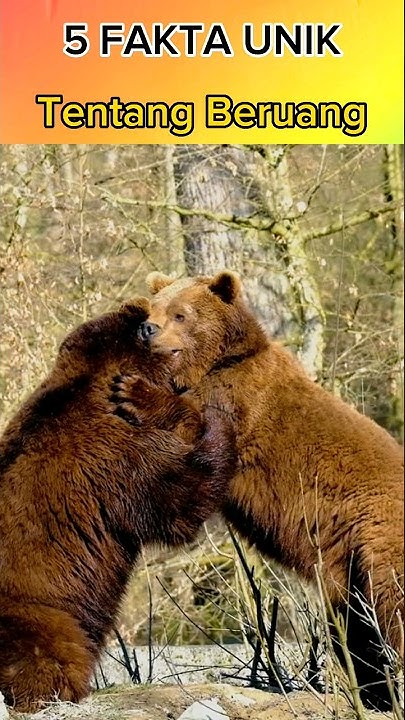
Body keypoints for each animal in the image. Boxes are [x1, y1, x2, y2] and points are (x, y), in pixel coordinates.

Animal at [138, 269, 404, 710]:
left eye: (180, 313)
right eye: (151, 307)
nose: (147, 329)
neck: (217, 363)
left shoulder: (236, 401)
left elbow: (195, 429)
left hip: (380, 544)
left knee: (391, 612)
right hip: (350, 570)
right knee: (357, 629)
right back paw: (374, 695)